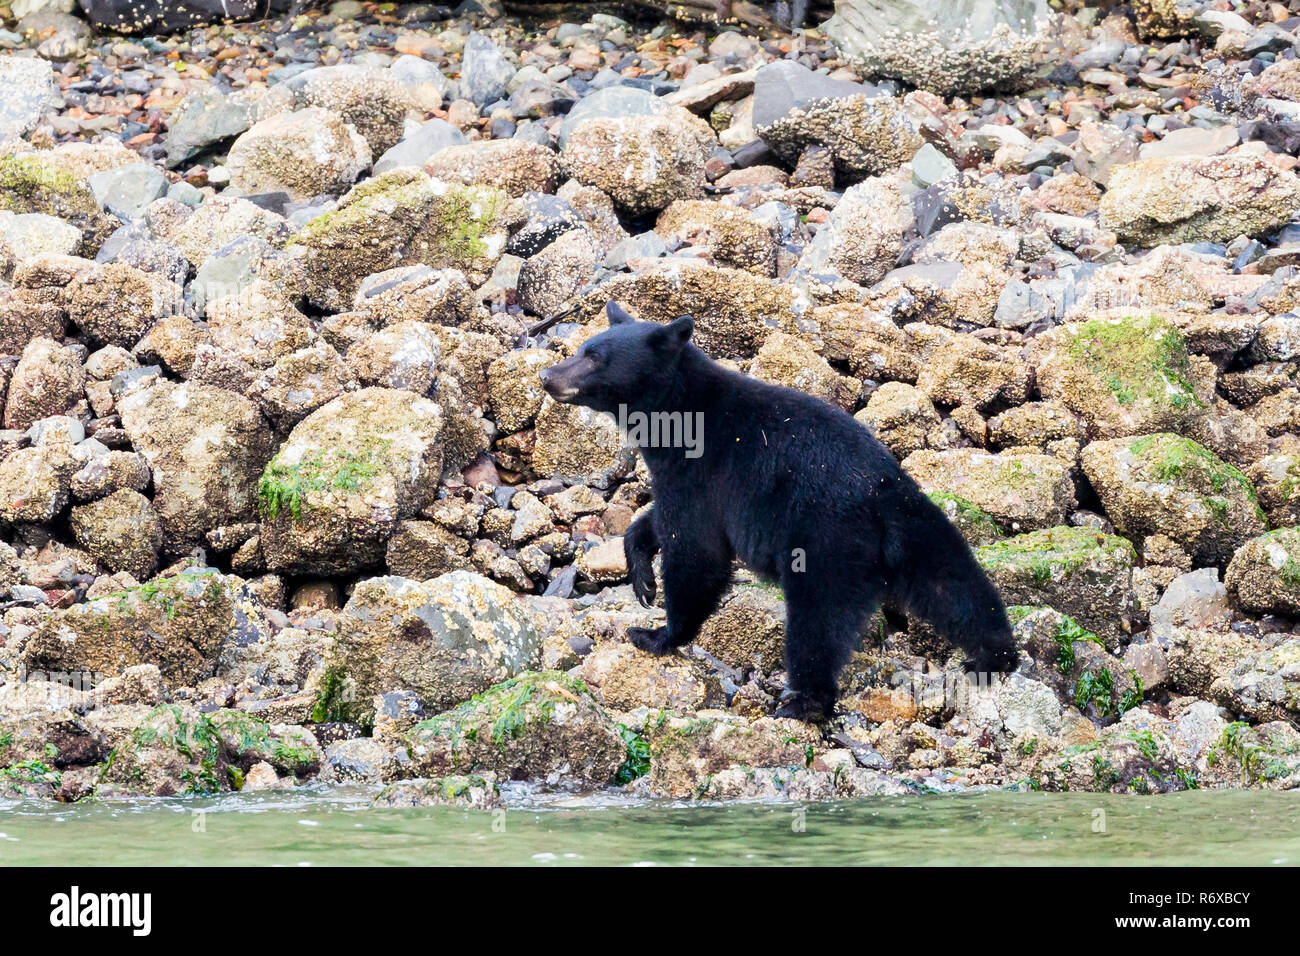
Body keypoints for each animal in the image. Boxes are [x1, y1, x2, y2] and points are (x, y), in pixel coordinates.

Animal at [538, 302, 1018, 720]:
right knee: (955, 586)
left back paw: (804, 701)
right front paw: (641, 577)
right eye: (581, 347)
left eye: (594, 358)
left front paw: (659, 634)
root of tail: (879, 496)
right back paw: (994, 656)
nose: (546, 374)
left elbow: (696, 548)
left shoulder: (703, 470)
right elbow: (659, 522)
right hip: (919, 526)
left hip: (825, 544)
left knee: (817, 623)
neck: (678, 413)